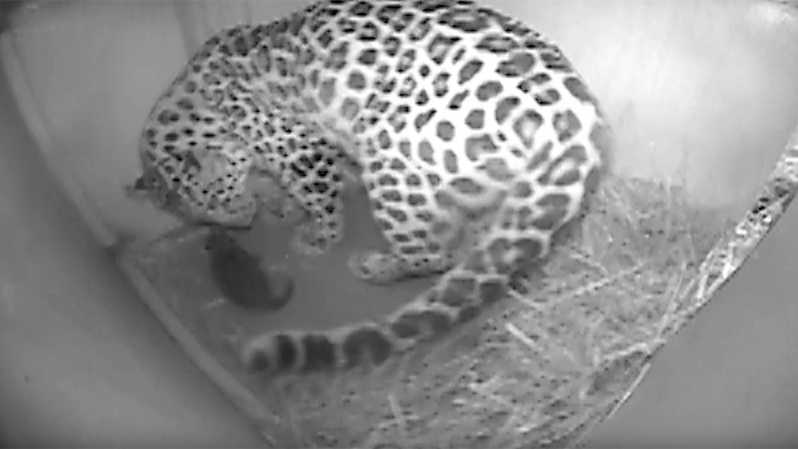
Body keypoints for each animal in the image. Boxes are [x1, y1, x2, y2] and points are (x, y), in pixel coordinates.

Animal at [128, 0, 612, 376]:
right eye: (207, 211)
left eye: (216, 199)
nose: (243, 223)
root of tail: (575, 123)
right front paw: (282, 206)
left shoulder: (302, 148)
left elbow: (320, 197)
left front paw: (316, 237)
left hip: (391, 157)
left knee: (431, 254)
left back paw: (375, 266)